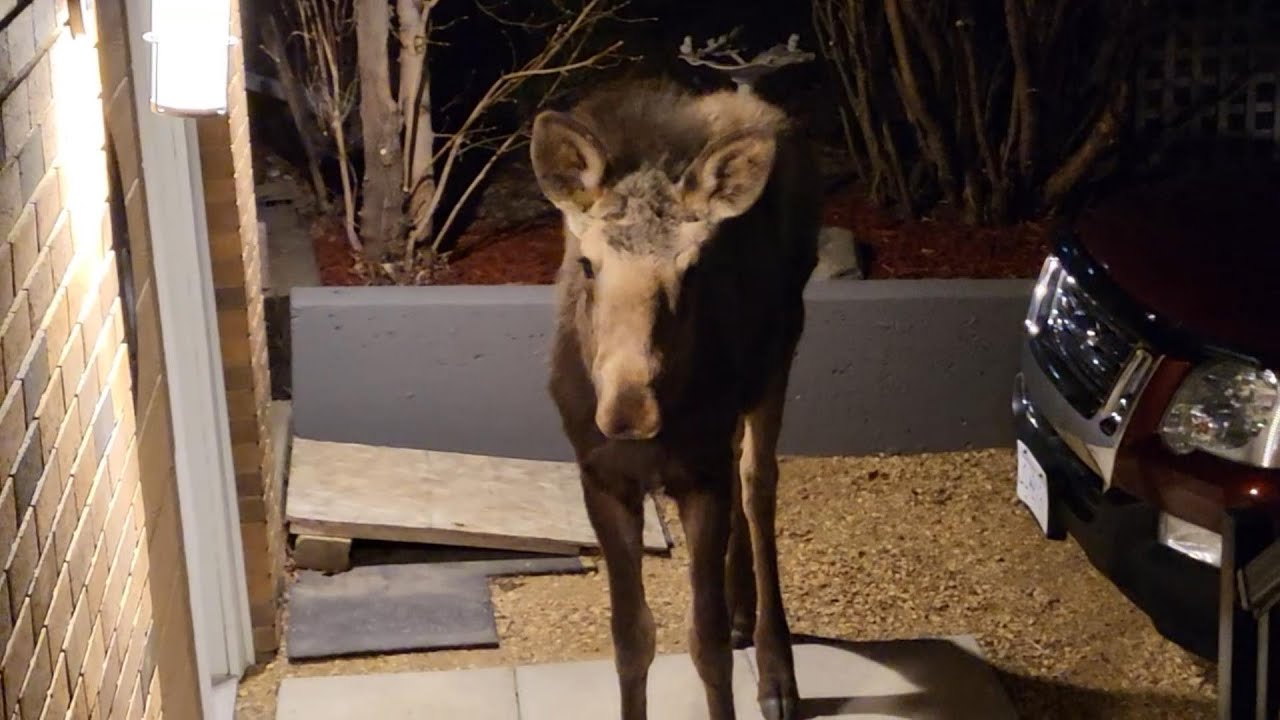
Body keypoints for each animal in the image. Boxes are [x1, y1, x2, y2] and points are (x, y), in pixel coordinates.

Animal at [530, 77, 820, 720]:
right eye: (588, 264)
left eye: (691, 271)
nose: (628, 410)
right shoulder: (603, 476)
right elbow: (631, 638)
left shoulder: (699, 475)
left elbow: (704, 643)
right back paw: (742, 612)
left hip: (784, 346)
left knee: (758, 483)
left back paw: (776, 670)